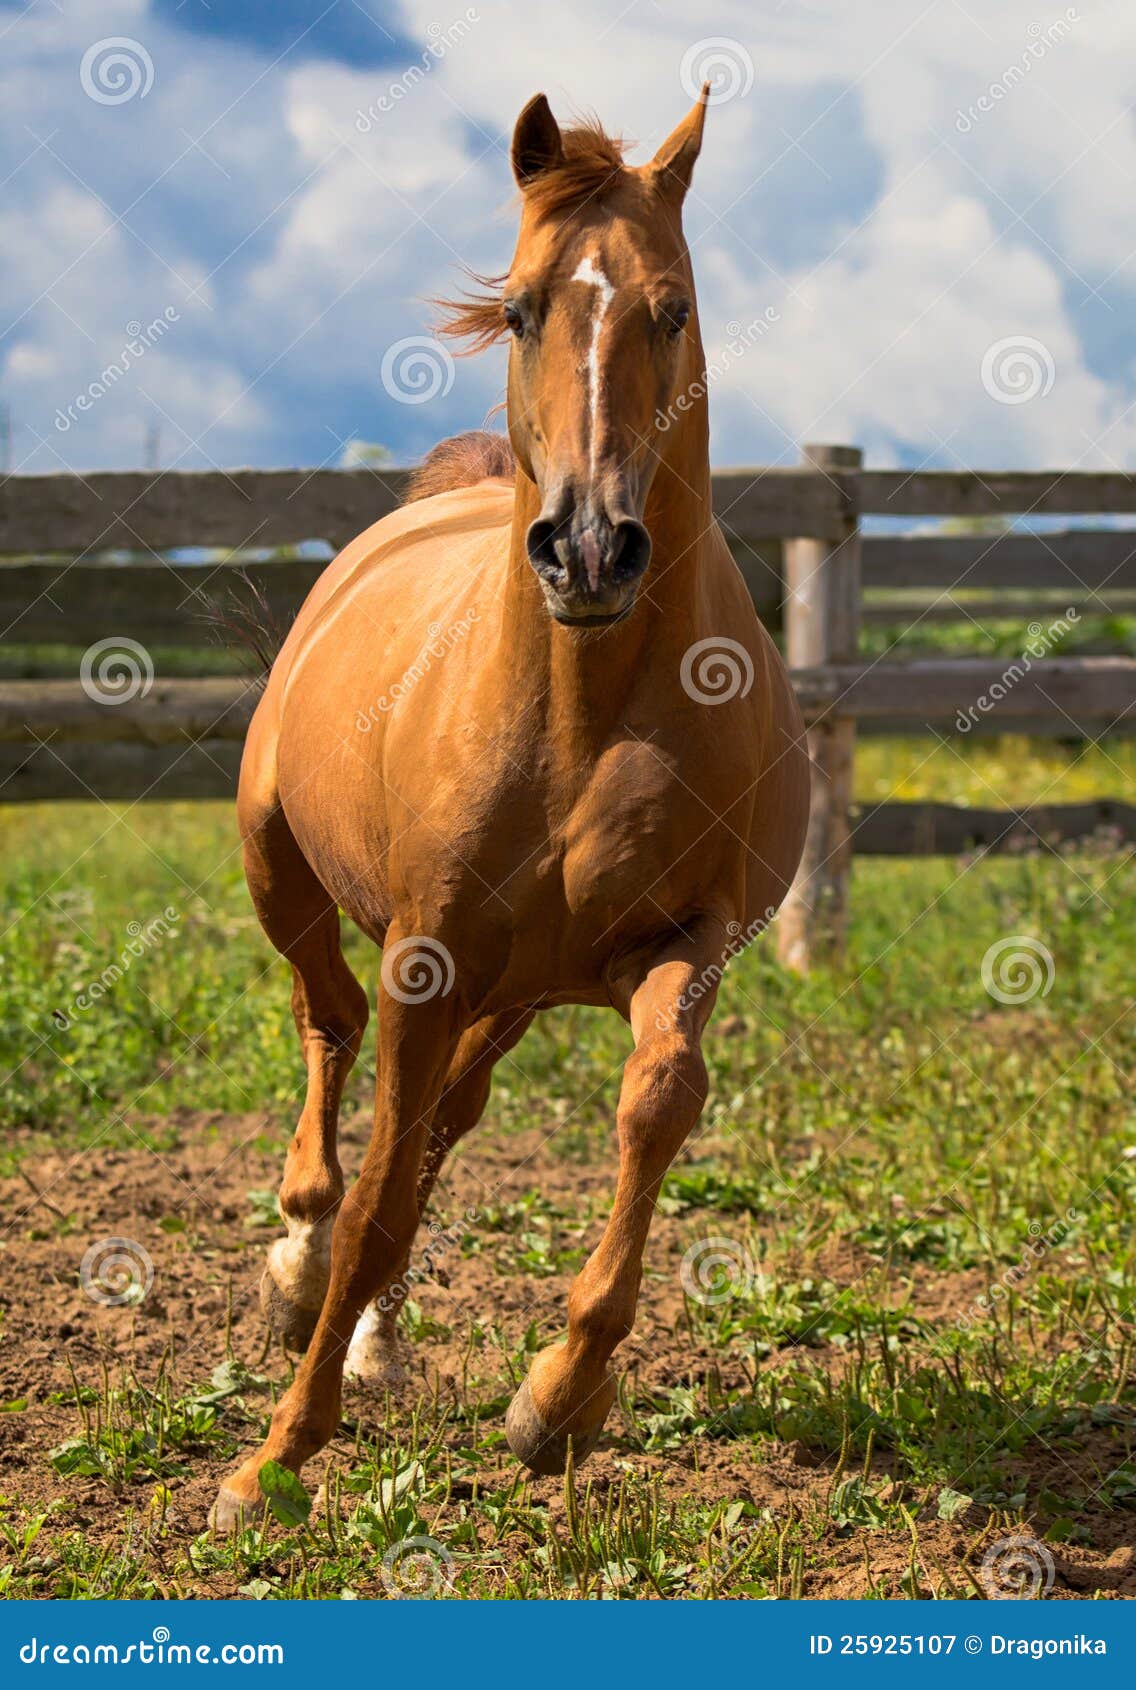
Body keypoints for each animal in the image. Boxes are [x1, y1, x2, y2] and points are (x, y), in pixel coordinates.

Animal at [211, 87, 810, 1528]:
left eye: (672, 308)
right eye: (530, 306)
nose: (589, 550)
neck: (581, 710)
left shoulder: (685, 945)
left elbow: (658, 1102)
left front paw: (557, 1396)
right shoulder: (426, 955)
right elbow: (379, 1190)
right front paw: (274, 1457)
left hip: (522, 987)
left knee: (441, 1120)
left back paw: (373, 1331)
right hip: (284, 872)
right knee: (331, 1030)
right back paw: (300, 1261)